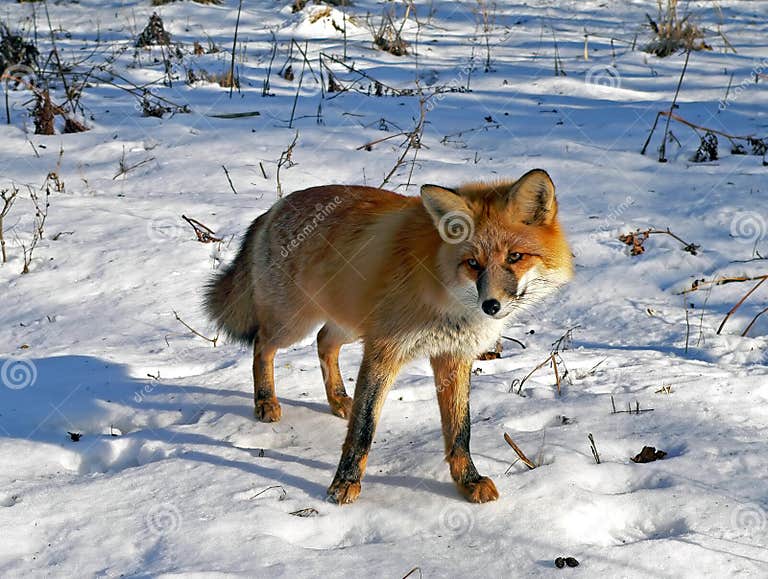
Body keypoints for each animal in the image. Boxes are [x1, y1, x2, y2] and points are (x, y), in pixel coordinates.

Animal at [204, 169, 573, 504]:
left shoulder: (453, 356)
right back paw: (265, 401)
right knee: (262, 344)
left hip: (349, 324)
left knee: (324, 342)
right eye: (473, 263)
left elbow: (460, 431)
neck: (445, 294)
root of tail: (275, 207)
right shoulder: (384, 350)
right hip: (293, 323)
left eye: (515, 257)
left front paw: (467, 481)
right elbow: (363, 428)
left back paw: (338, 399)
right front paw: (344, 484)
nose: (491, 306)